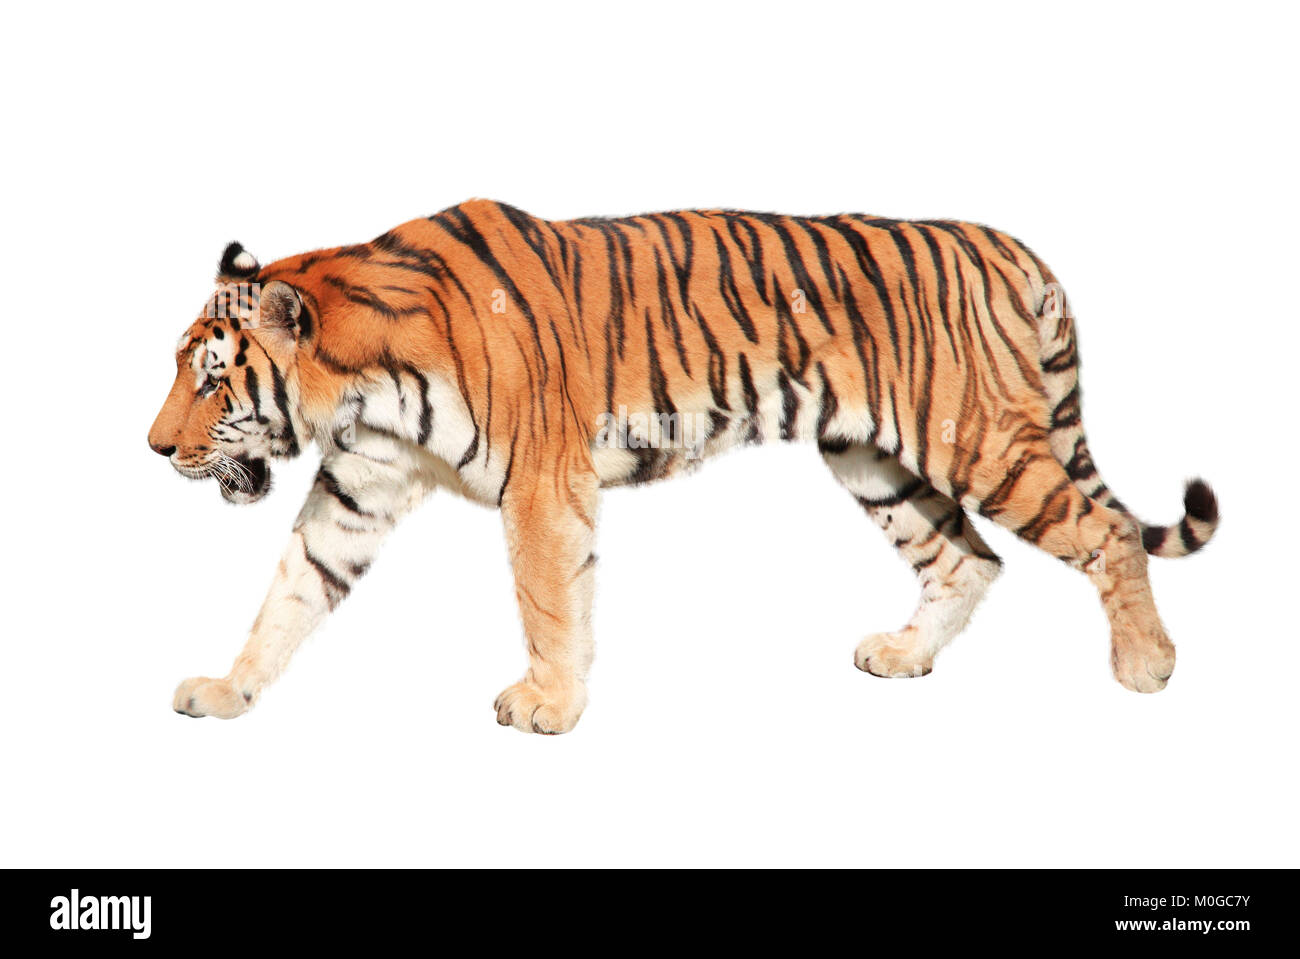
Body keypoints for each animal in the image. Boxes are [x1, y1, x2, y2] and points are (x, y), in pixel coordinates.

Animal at [148, 199, 1219, 733]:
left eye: (211, 379)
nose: (155, 448)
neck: (356, 386)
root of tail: (1011, 245)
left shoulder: (541, 484)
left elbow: (547, 599)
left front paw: (547, 706)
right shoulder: (359, 487)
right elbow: (288, 595)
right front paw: (228, 692)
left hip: (981, 440)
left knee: (1106, 529)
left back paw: (1147, 666)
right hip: (872, 457)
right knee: (970, 557)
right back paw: (904, 655)